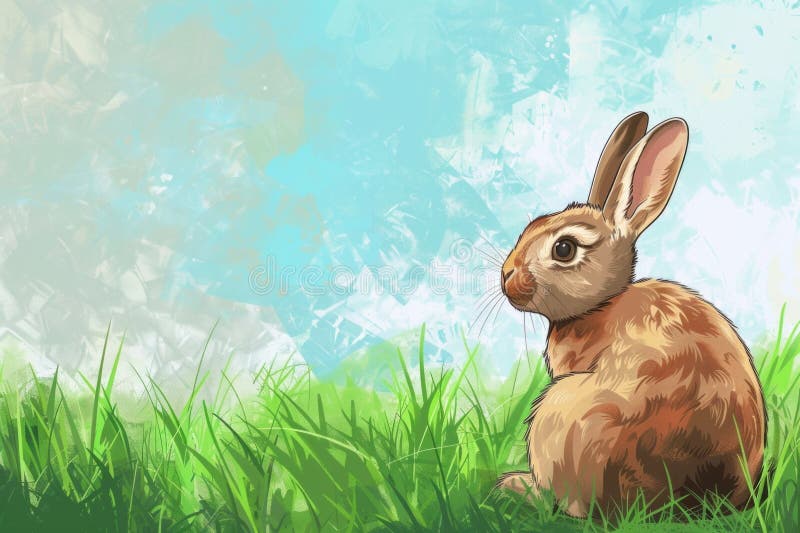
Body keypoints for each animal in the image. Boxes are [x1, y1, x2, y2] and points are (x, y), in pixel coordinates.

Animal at [496, 112, 766, 518]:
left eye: (564, 249)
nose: (506, 276)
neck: (602, 304)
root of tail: (688, 499)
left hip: (559, 416)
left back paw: (517, 487)